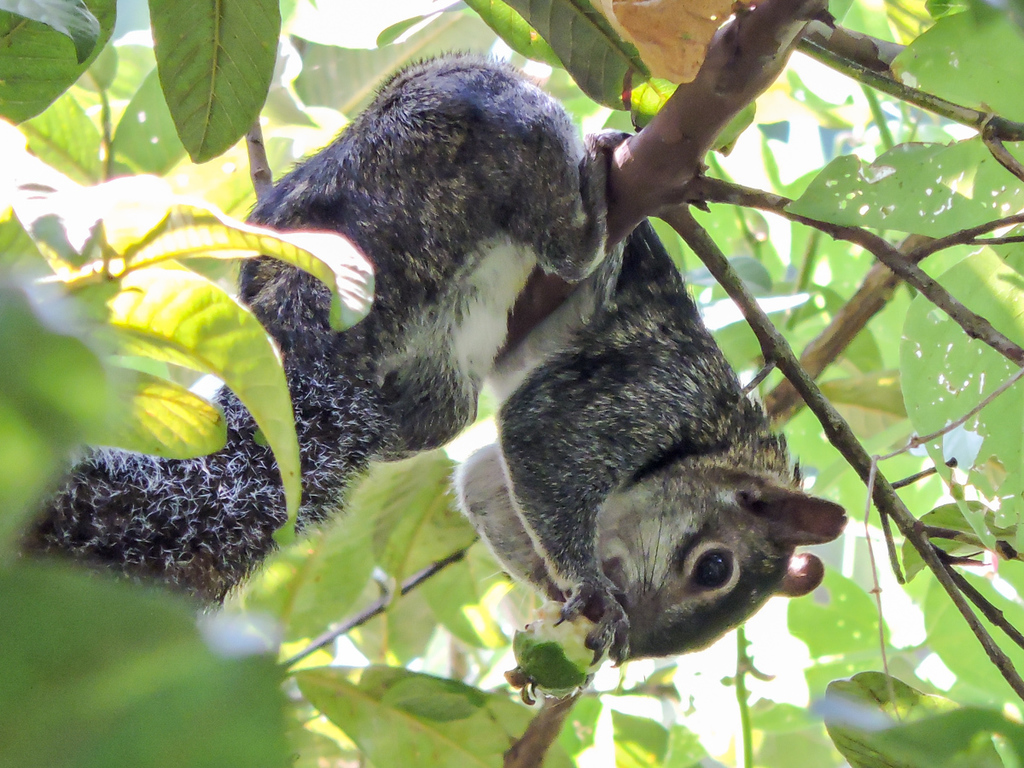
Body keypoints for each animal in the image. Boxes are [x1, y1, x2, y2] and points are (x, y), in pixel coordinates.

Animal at [25, 54, 846, 663]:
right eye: (714, 568)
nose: (632, 643)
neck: (711, 437)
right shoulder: (642, 394)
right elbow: (540, 438)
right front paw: (589, 592)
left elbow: (488, 478)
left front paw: (565, 602)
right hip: (466, 140)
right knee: (560, 230)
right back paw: (599, 203)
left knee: (439, 416)